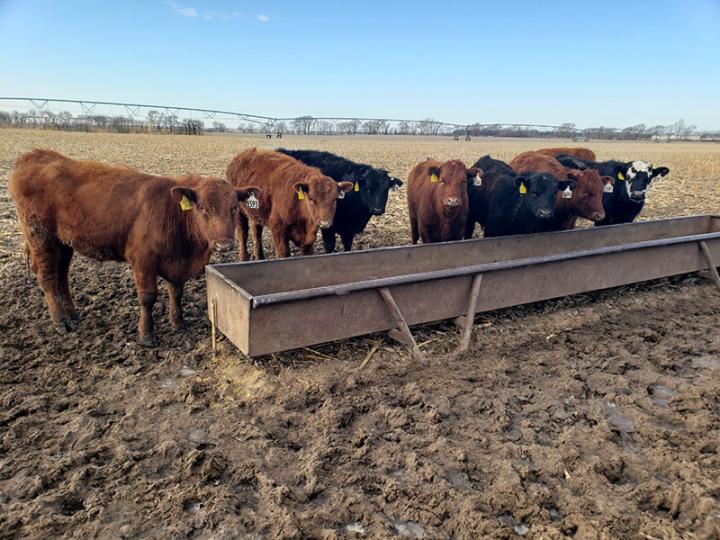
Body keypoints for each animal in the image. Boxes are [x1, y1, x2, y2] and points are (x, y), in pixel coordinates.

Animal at [8, 149, 259, 344]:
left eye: (234, 208)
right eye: (202, 208)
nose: (223, 244)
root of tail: (35, 156)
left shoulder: (177, 262)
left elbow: (176, 291)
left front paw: (178, 322)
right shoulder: (142, 260)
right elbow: (148, 297)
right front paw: (146, 334)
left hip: (63, 243)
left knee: (62, 277)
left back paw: (71, 314)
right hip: (41, 238)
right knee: (48, 279)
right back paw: (60, 321)